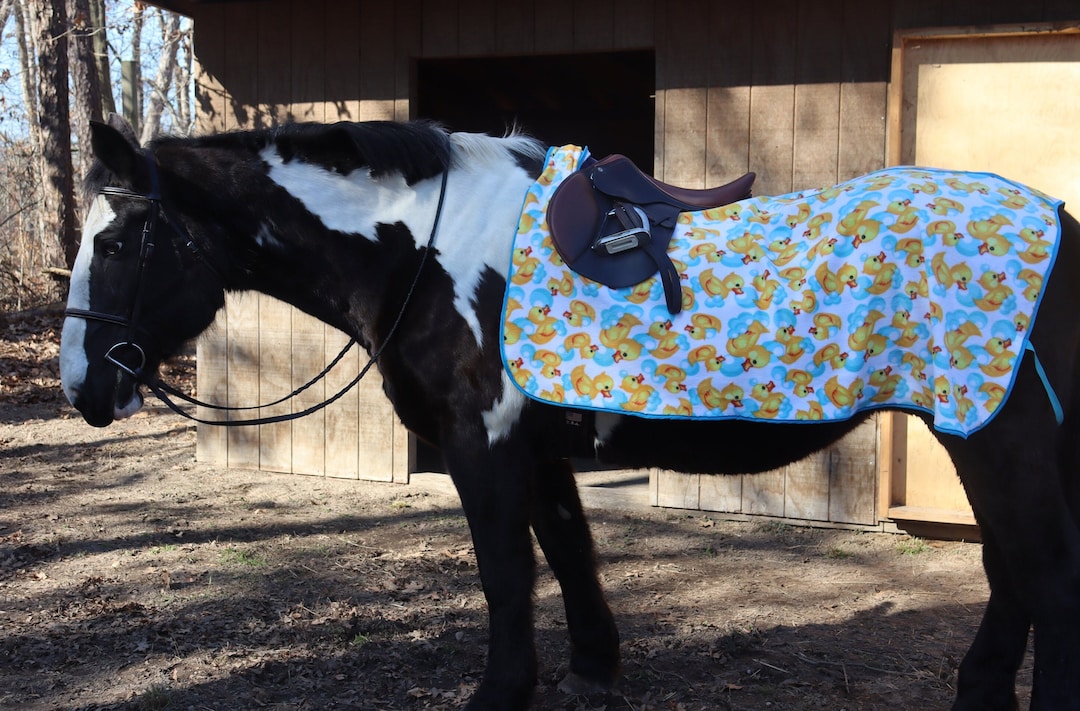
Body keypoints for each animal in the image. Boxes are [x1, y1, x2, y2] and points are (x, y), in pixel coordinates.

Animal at [58, 115, 1080, 711]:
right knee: (1013, 570)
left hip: (1002, 435)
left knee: (1042, 572)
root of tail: (1062, 222)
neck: (429, 245)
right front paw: (593, 666)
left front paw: (501, 693)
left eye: (116, 241)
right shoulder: (539, 449)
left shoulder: (481, 443)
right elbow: (567, 550)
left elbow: (507, 572)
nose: (80, 385)